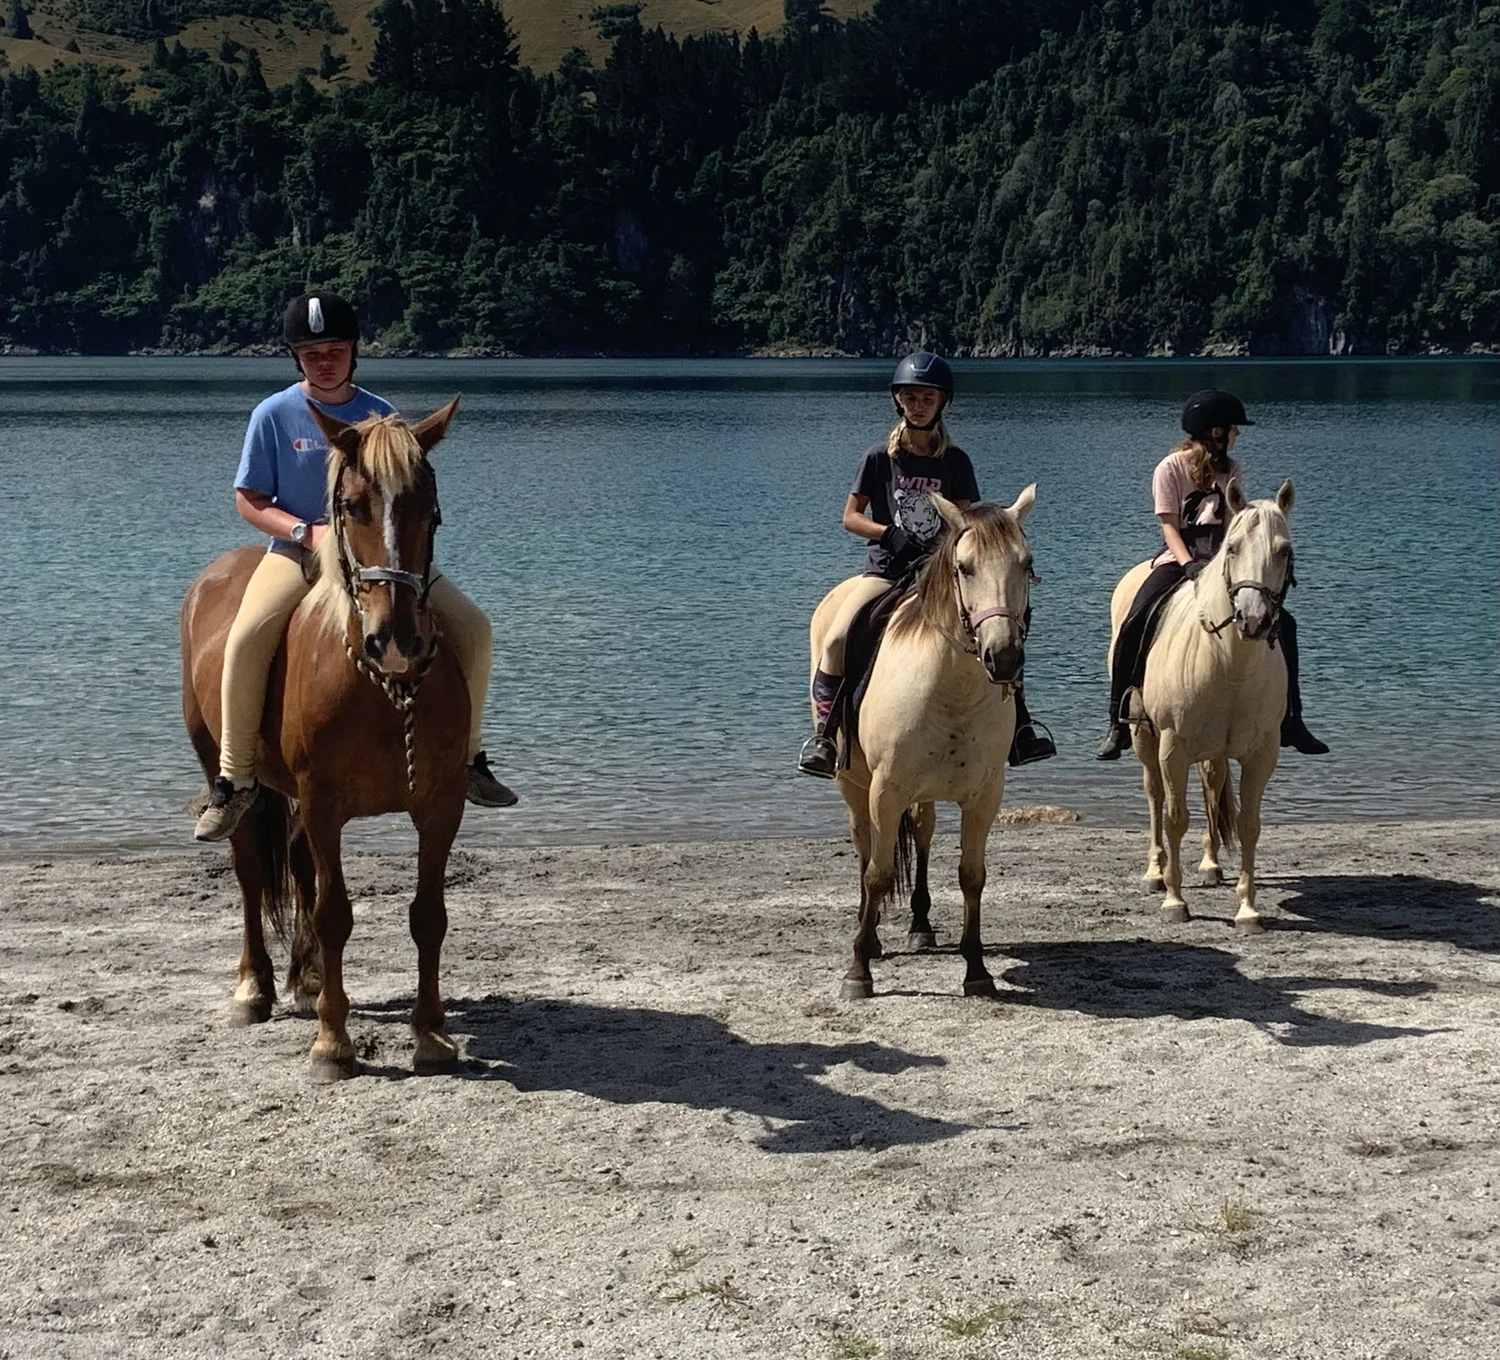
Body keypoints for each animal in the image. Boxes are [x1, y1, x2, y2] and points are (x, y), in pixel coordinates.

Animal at [181, 398, 471, 1078]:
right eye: (351, 506)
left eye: (430, 507)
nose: (395, 640)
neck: (385, 690)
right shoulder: (323, 801)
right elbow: (335, 913)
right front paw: (333, 1044)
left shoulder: (439, 805)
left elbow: (428, 915)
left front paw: (429, 1033)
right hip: (225, 769)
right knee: (251, 870)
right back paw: (254, 987)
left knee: (297, 865)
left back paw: (308, 978)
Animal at [809, 489, 1038, 999]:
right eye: (964, 567)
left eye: (1026, 563)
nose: (1004, 656)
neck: (952, 690)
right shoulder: (885, 791)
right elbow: (877, 873)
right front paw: (858, 970)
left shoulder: (983, 796)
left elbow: (972, 876)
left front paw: (976, 969)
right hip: (854, 785)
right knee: (864, 846)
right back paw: (871, 936)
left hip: (926, 793)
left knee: (924, 833)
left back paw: (920, 926)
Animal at [1107, 479, 1296, 932]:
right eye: (1233, 548)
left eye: (1284, 550)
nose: (1253, 620)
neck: (1229, 662)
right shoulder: (1172, 746)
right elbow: (1175, 817)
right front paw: (1175, 902)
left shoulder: (1261, 753)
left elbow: (1249, 824)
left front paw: (1248, 909)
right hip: (1144, 737)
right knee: (1155, 796)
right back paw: (1155, 873)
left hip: (1213, 749)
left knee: (1212, 783)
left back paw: (1211, 865)